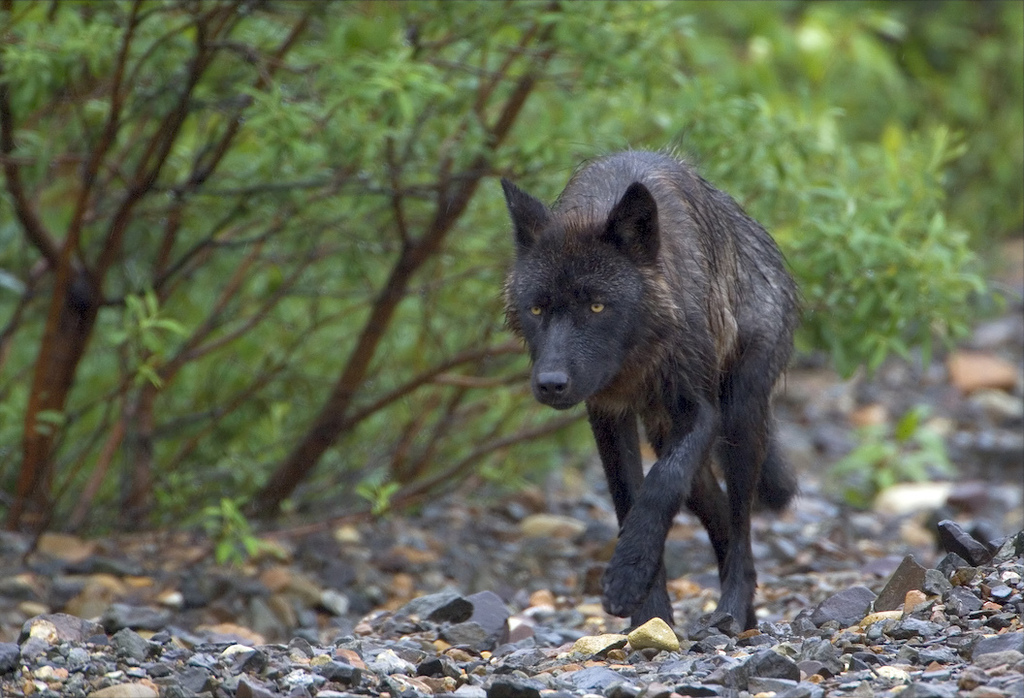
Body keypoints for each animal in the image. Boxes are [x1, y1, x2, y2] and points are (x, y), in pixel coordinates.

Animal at [501, 150, 799, 632]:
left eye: (597, 306)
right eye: (537, 309)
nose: (550, 383)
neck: (636, 364)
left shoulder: (701, 411)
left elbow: (660, 485)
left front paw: (627, 576)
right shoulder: (606, 415)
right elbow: (628, 499)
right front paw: (649, 614)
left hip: (740, 420)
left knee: (741, 524)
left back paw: (733, 611)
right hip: (671, 440)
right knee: (719, 513)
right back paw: (747, 612)